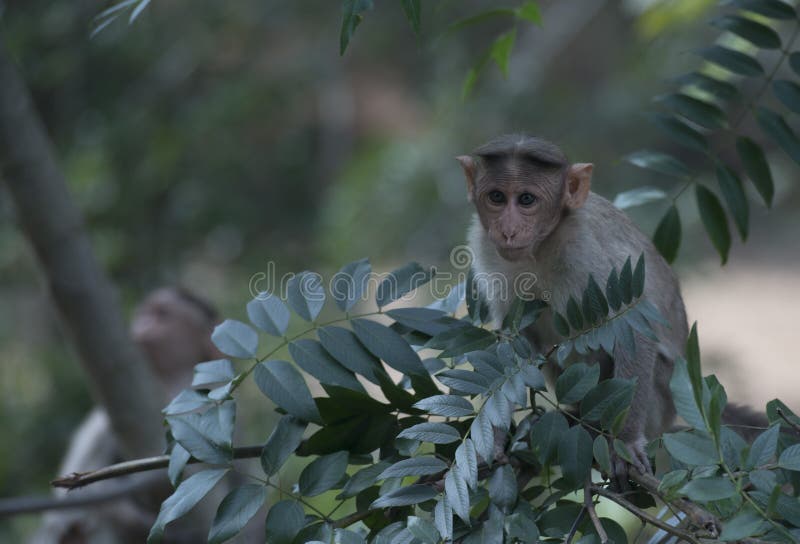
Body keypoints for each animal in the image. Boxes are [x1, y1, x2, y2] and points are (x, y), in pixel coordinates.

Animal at [457, 134, 689, 483]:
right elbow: (513, 343)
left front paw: (626, 442)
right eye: (496, 197)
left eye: (526, 199)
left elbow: (634, 324)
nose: (508, 230)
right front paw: (493, 438)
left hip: (661, 397)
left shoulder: (585, 251)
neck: (540, 247)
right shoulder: (486, 247)